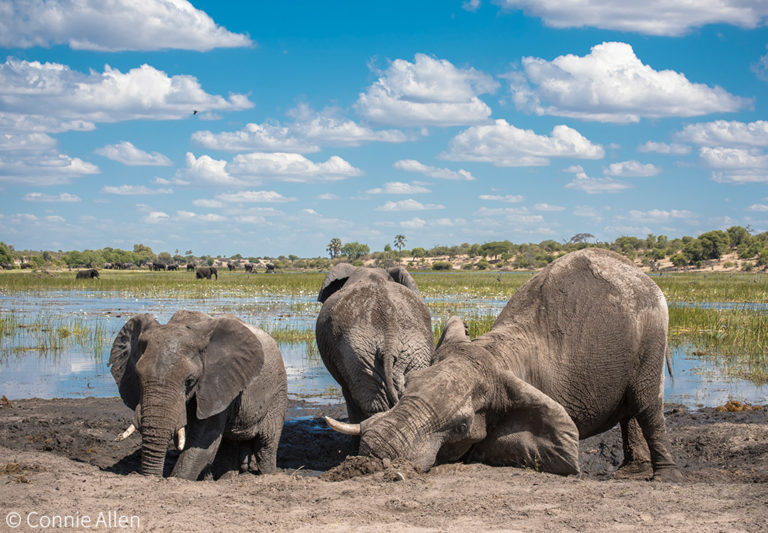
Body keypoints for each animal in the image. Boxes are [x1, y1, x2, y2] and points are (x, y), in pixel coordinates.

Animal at [109, 310, 288, 480]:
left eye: (189, 381)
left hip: (277, 391)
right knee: (229, 445)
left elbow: (202, 440)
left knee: (265, 444)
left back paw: (266, 473)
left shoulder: (217, 385)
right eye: (138, 377)